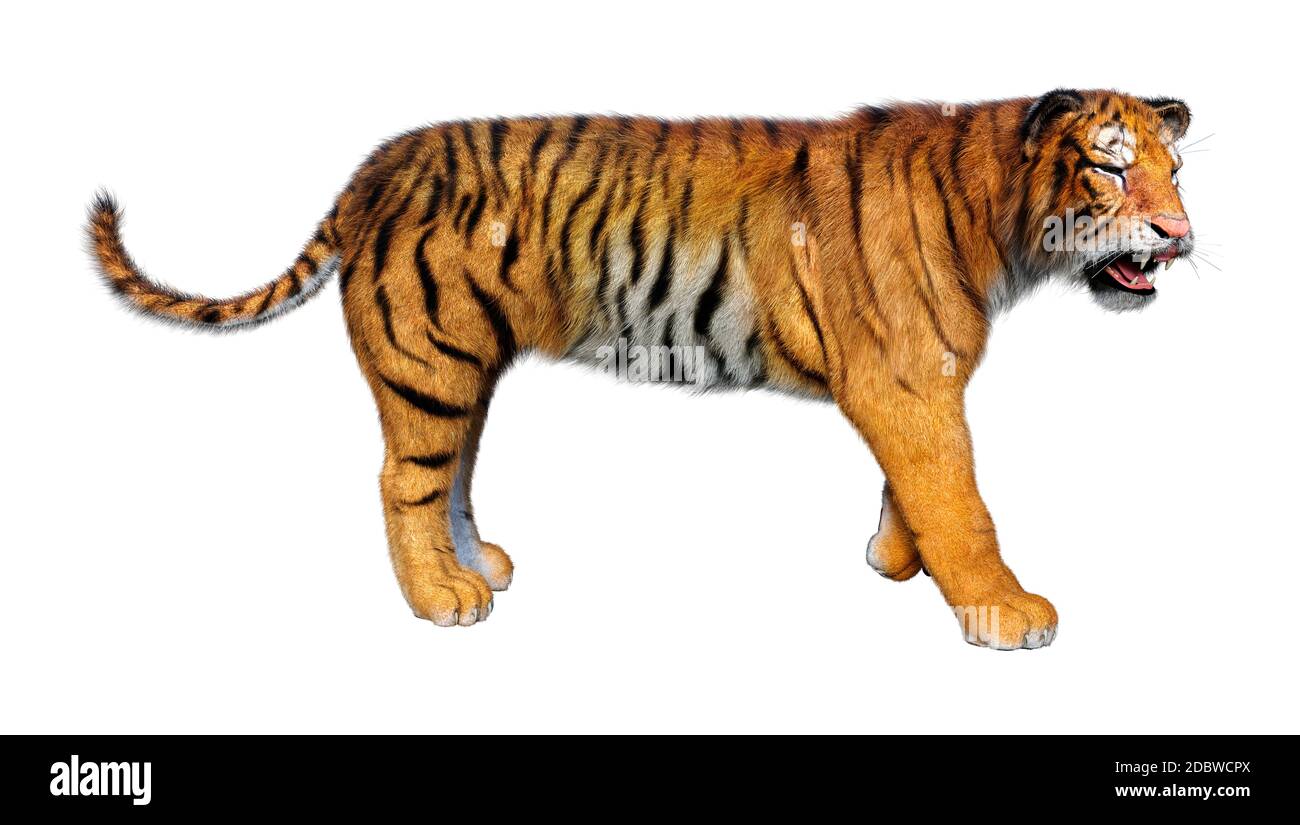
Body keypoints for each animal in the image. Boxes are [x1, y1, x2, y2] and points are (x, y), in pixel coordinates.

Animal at [87, 88, 1193, 649]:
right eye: (1109, 164)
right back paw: (440, 599)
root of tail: (376, 166)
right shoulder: (908, 380)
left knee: (452, 474)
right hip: (428, 360)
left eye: (1175, 168)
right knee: (402, 481)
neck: (1001, 225)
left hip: (466, 365)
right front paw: (1005, 610)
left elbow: (915, 488)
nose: (1180, 235)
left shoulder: (919, 378)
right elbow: (961, 499)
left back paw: (477, 567)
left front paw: (894, 560)